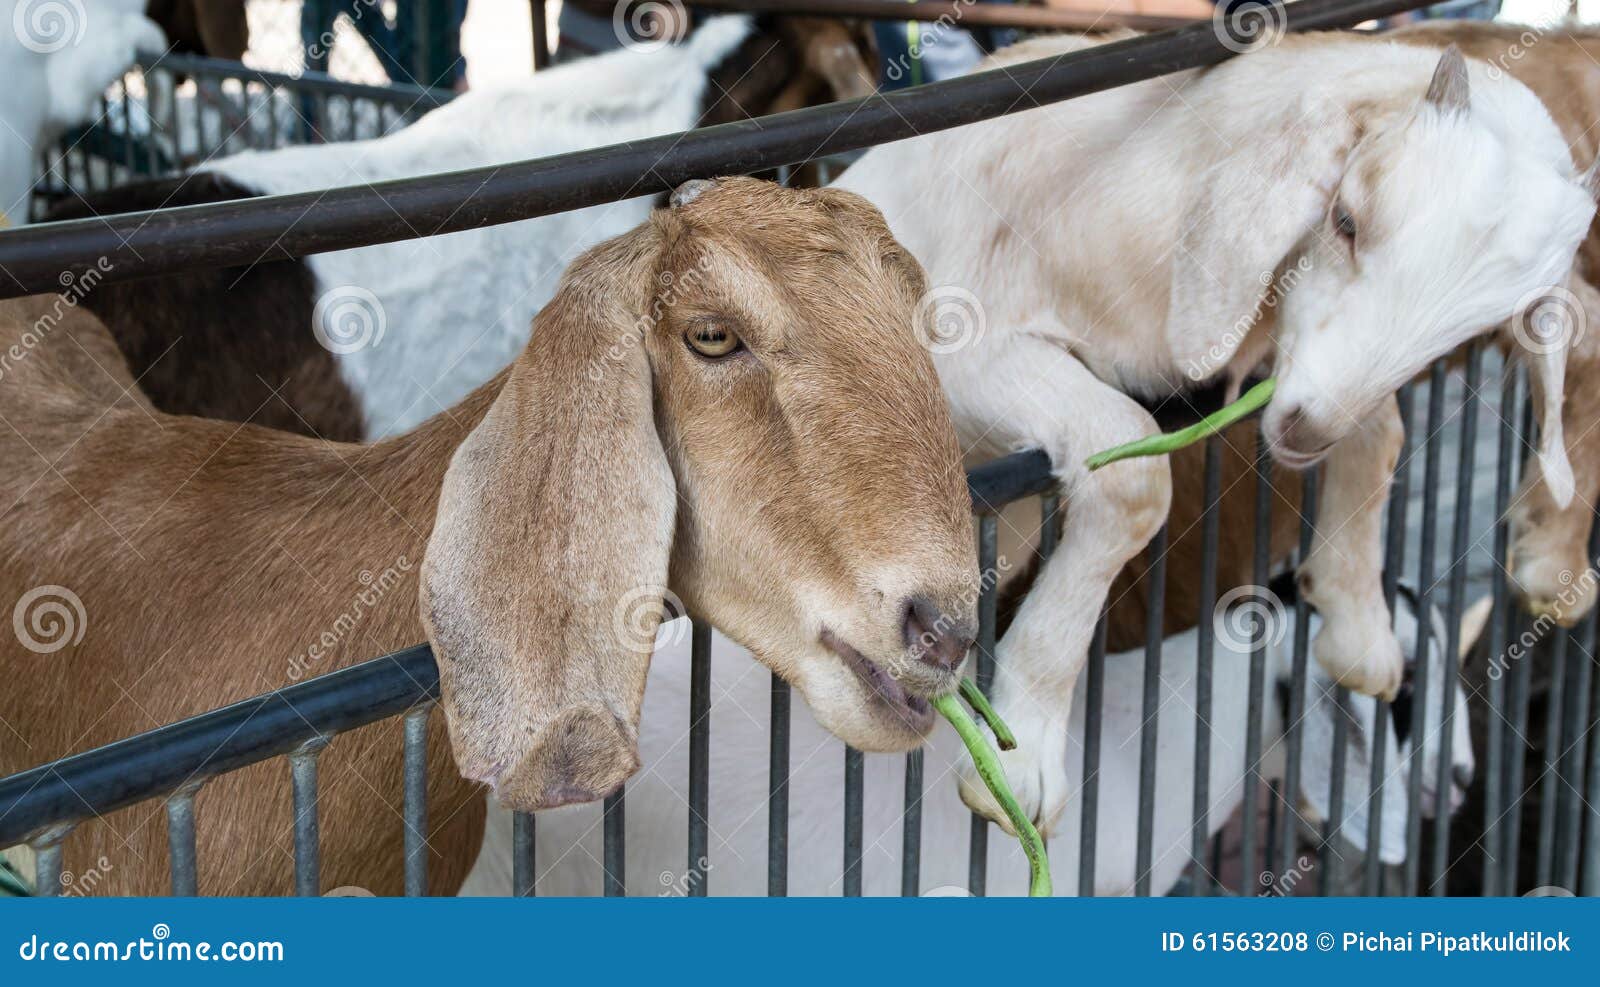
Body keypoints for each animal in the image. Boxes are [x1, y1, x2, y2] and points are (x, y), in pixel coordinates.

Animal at [828, 31, 1597, 836]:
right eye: (1346, 220)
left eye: (1484, 324)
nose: (1305, 431)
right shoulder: (962, 350)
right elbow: (1134, 475)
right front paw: (1022, 760)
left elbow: (1381, 428)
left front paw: (1360, 628)